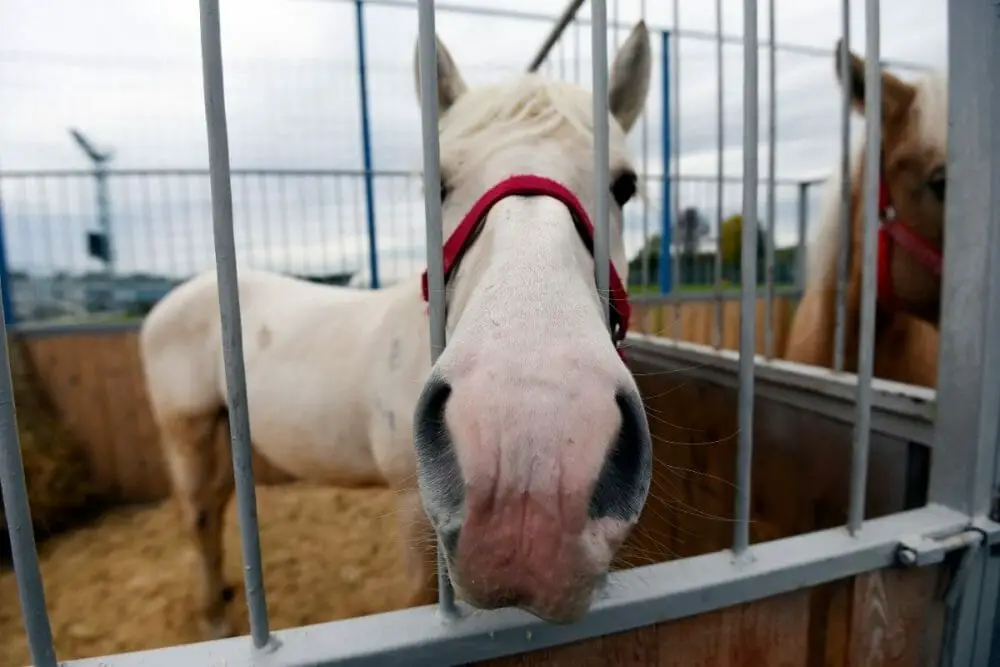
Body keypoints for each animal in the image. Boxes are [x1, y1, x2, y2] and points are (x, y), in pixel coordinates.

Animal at [138, 20, 654, 641]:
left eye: (624, 186)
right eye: (437, 183)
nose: (529, 452)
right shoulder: (413, 505)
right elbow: (416, 597)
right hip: (186, 429)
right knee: (197, 515)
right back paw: (214, 620)